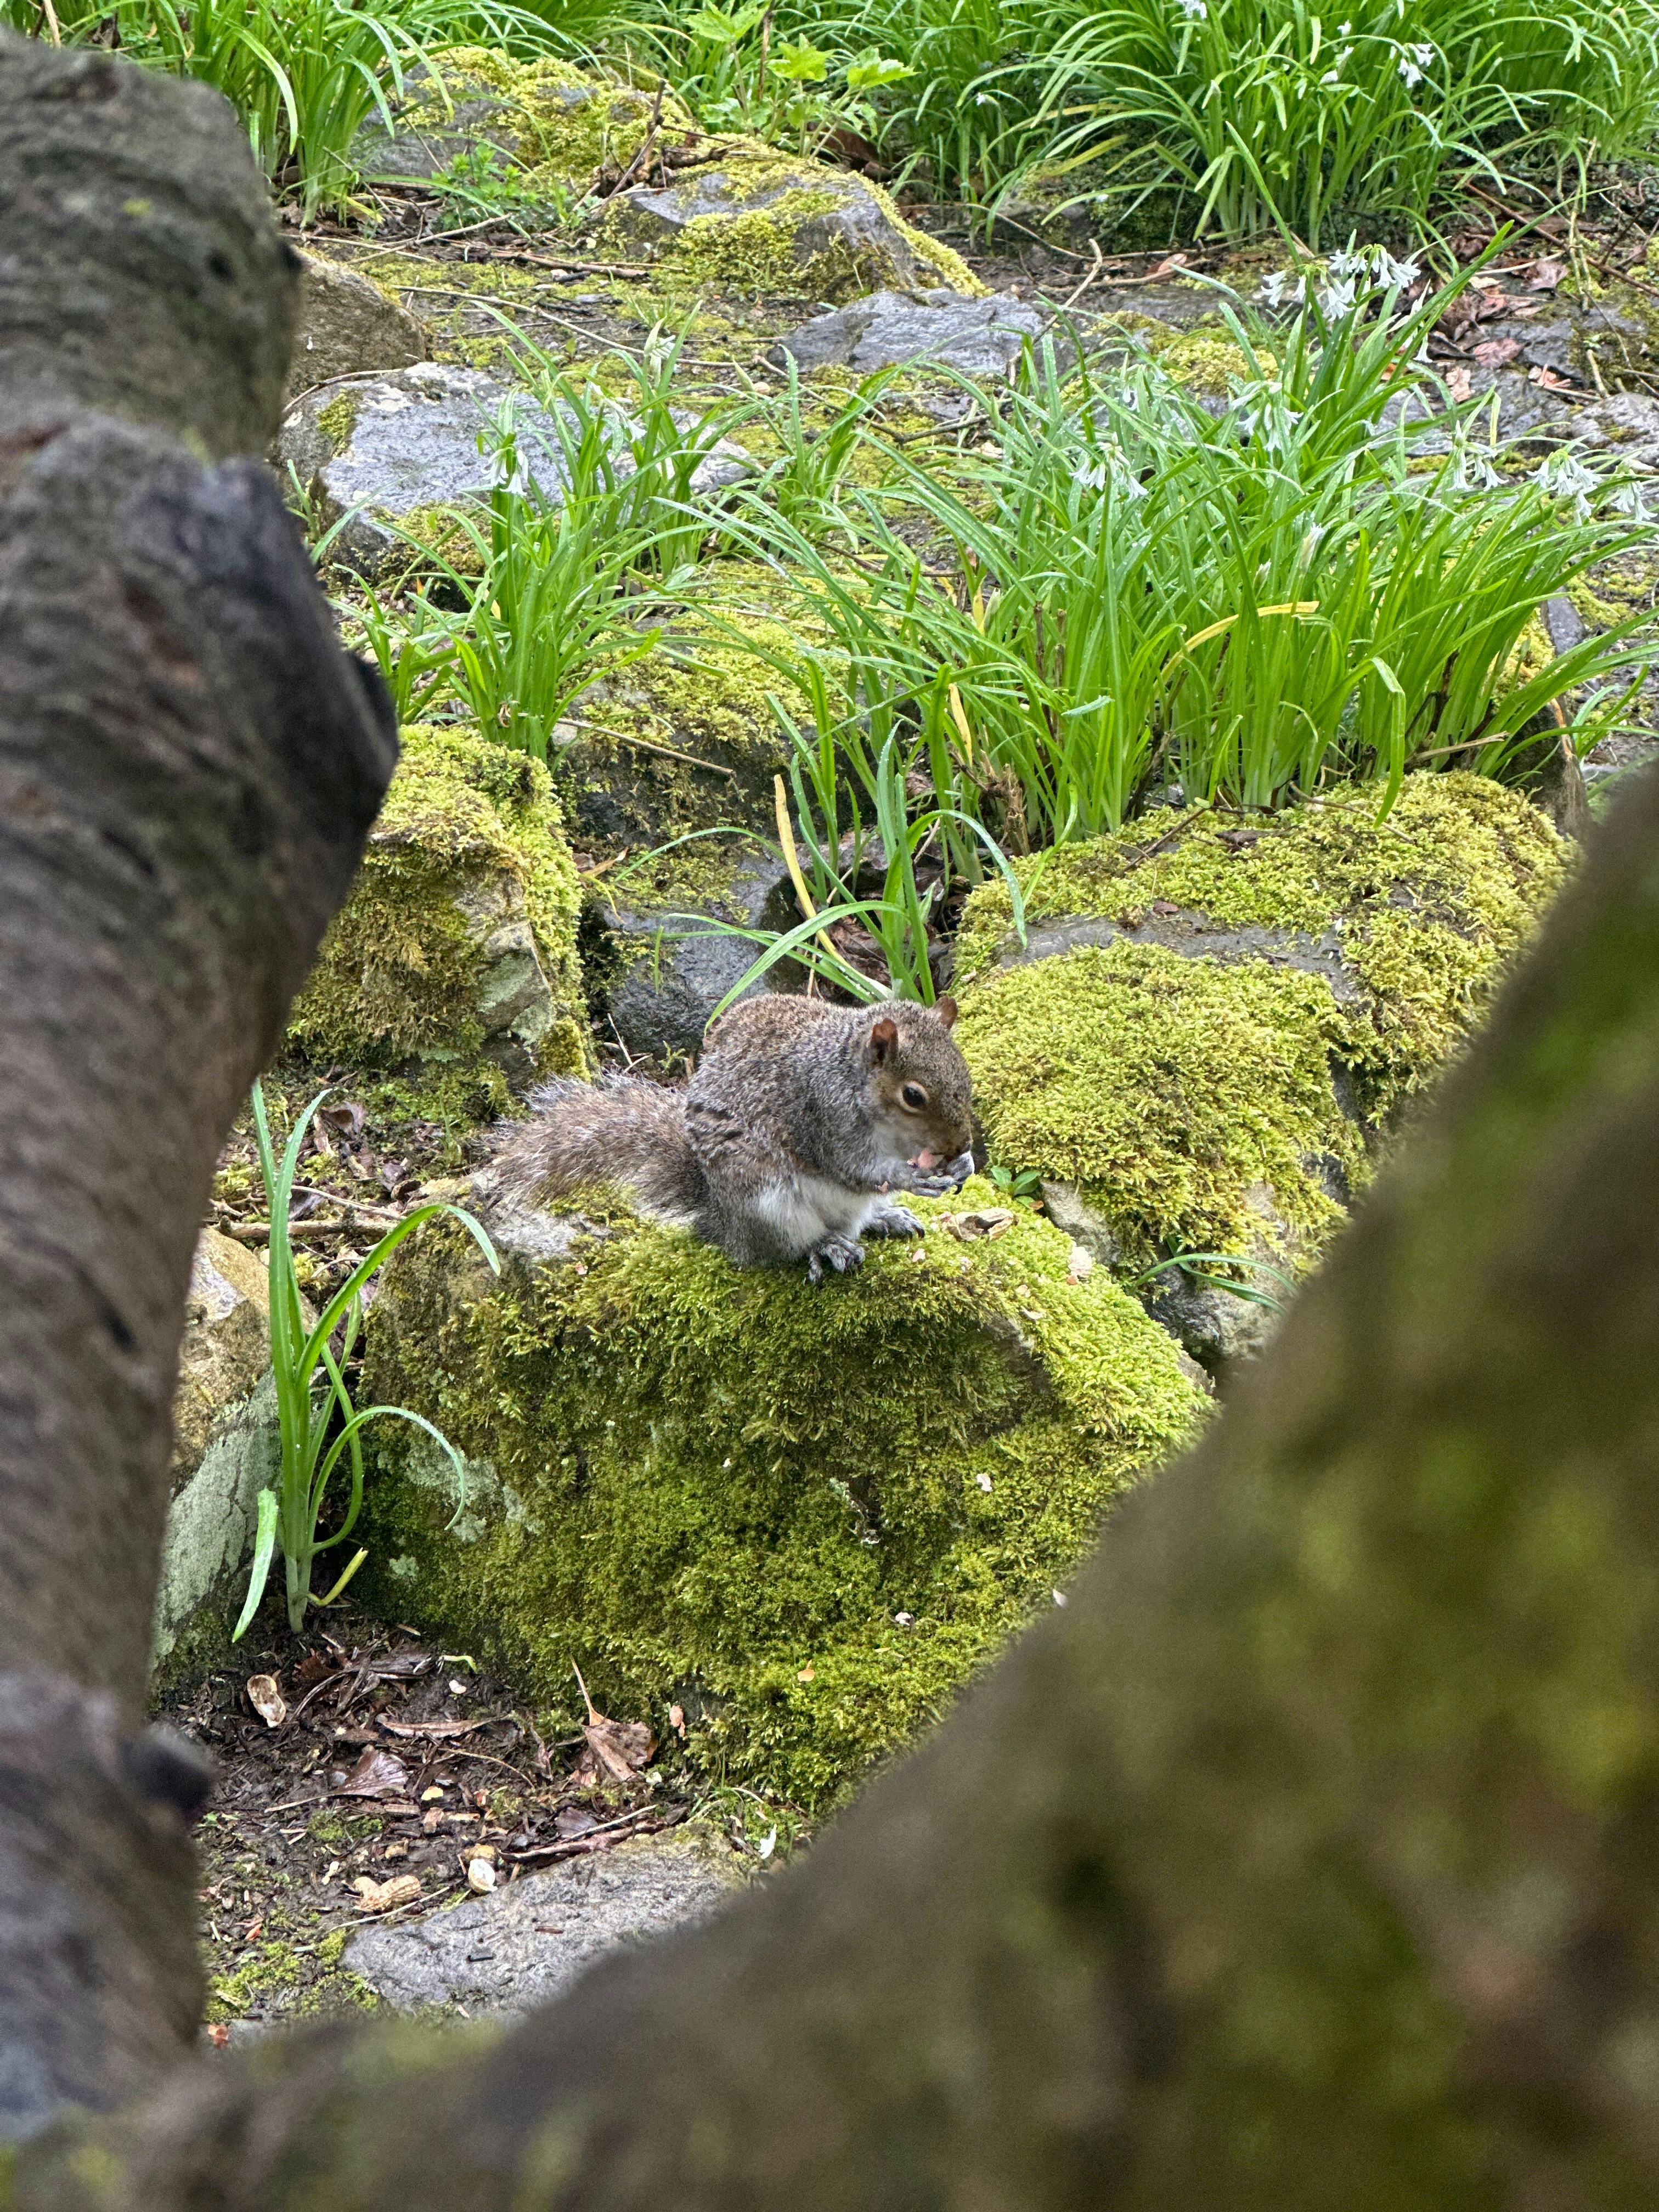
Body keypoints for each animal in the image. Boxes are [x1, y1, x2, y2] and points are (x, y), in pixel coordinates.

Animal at [492, 994, 976, 1283]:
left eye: (966, 1075)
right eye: (913, 1096)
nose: (961, 1144)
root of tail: (726, 1223)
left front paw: (962, 1166)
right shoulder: (823, 1118)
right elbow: (856, 1168)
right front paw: (913, 1178)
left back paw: (885, 1217)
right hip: (766, 1201)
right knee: (783, 1248)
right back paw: (827, 1245)